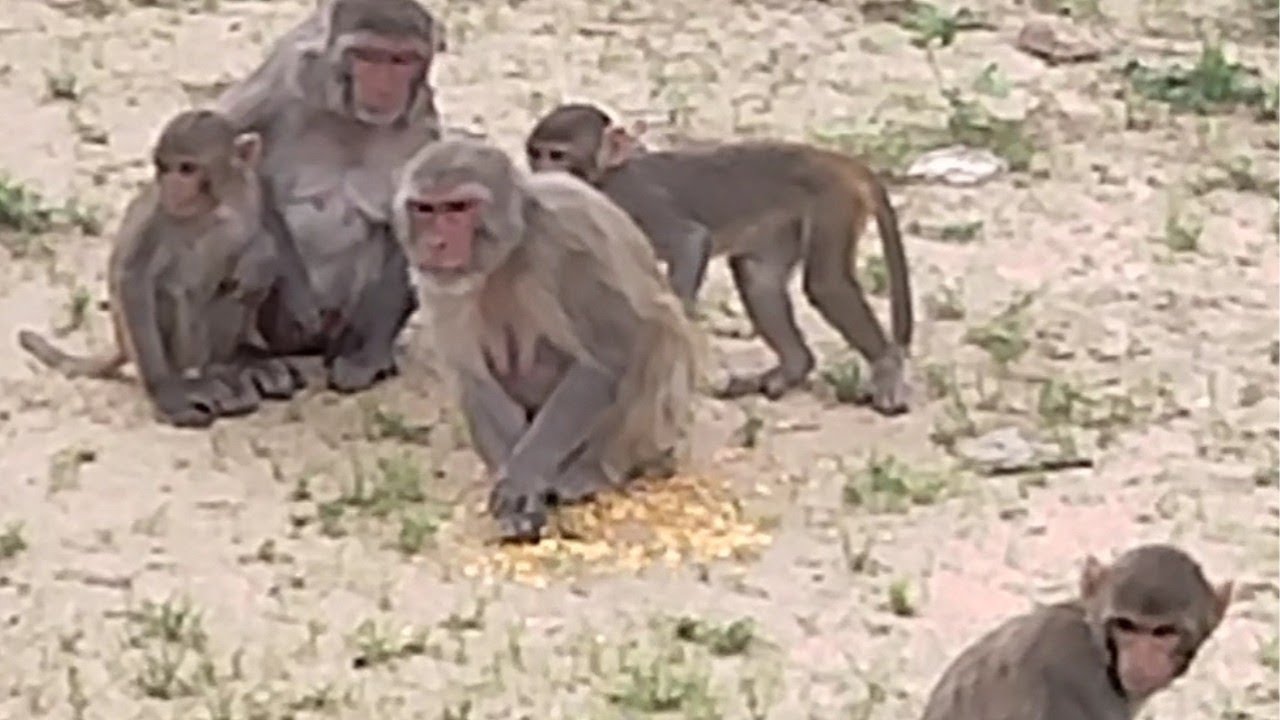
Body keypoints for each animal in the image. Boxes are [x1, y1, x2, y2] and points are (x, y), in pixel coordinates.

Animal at [17, 109, 316, 428]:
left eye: (186, 168)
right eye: (164, 166)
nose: (171, 187)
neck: (215, 206)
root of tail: (122, 345)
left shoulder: (253, 185)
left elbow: (273, 222)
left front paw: (297, 298)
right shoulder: (157, 215)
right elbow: (133, 278)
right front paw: (165, 392)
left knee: (238, 289)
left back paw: (239, 360)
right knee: (174, 295)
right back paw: (203, 377)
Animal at [213, 0, 447, 393]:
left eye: (401, 59)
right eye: (368, 55)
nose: (384, 86)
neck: (350, 114)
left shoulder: (421, 128)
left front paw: (366, 355)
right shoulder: (276, 85)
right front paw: (291, 292)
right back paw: (249, 357)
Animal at [390, 138, 700, 542]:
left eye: (458, 207)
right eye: (425, 209)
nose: (436, 243)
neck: (510, 250)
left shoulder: (568, 237)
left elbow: (608, 357)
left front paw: (522, 478)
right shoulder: (438, 282)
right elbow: (475, 379)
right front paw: (517, 497)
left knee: (655, 332)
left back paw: (593, 472)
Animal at [525, 102, 914, 415]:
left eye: (557, 156)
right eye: (536, 154)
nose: (540, 173)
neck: (605, 176)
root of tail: (839, 162)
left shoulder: (634, 198)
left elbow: (690, 240)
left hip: (833, 201)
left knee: (826, 283)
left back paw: (887, 369)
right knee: (757, 278)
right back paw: (793, 367)